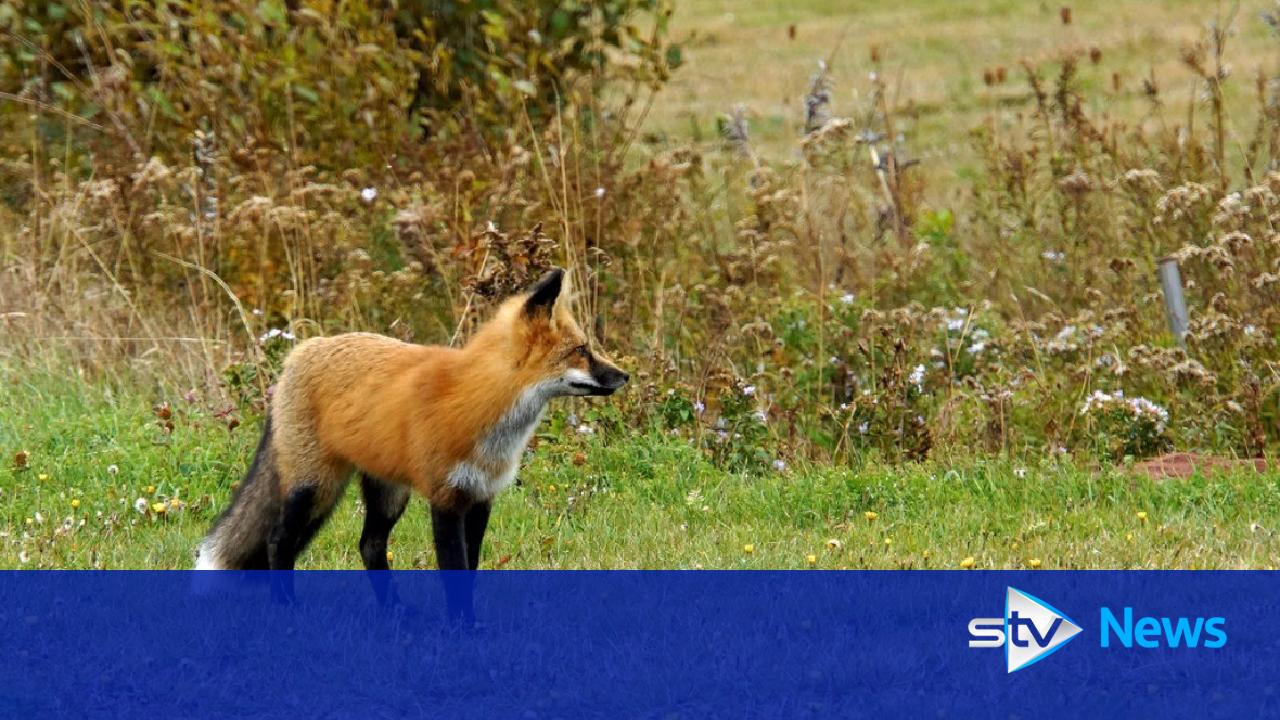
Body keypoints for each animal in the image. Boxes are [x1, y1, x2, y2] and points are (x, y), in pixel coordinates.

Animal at [196, 268, 628, 583]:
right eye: (581, 351)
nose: (624, 376)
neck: (484, 407)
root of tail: (303, 350)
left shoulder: (481, 497)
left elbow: (470, 571)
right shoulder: (446, 498)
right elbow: (455, 572)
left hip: (386, 492)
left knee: (369, 546)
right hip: (314, 486)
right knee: (277, 542)